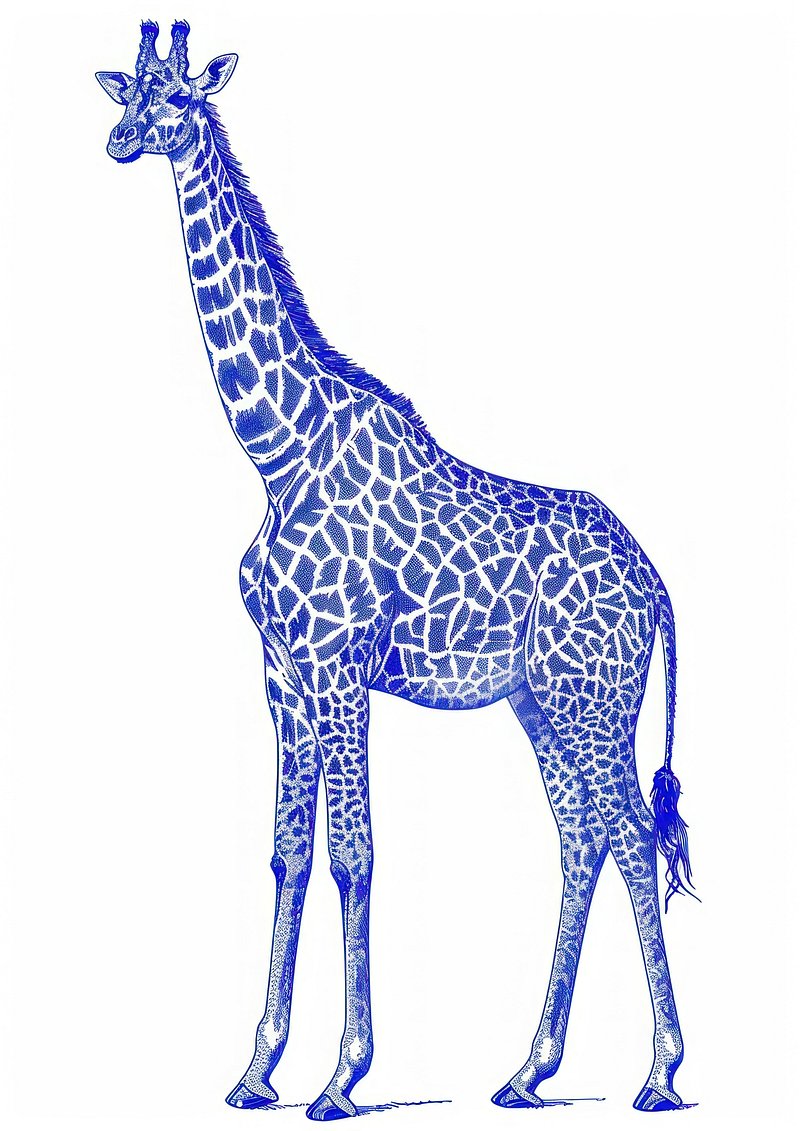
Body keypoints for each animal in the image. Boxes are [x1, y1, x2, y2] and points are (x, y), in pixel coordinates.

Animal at [97, 22, 696, 1119]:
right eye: (129, 92)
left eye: (180, 100)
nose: (119, 141)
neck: (274, 447)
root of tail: (657, 585)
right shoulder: (281, 677)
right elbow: (286, 851)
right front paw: (255, 1071)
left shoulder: (338, 671)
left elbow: (354, 852)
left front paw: (340, 1076)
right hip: (541, 703)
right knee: (581, 836)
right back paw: (525, 1071)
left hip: (593, 701)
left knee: (631, 834)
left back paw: (660, 1072)